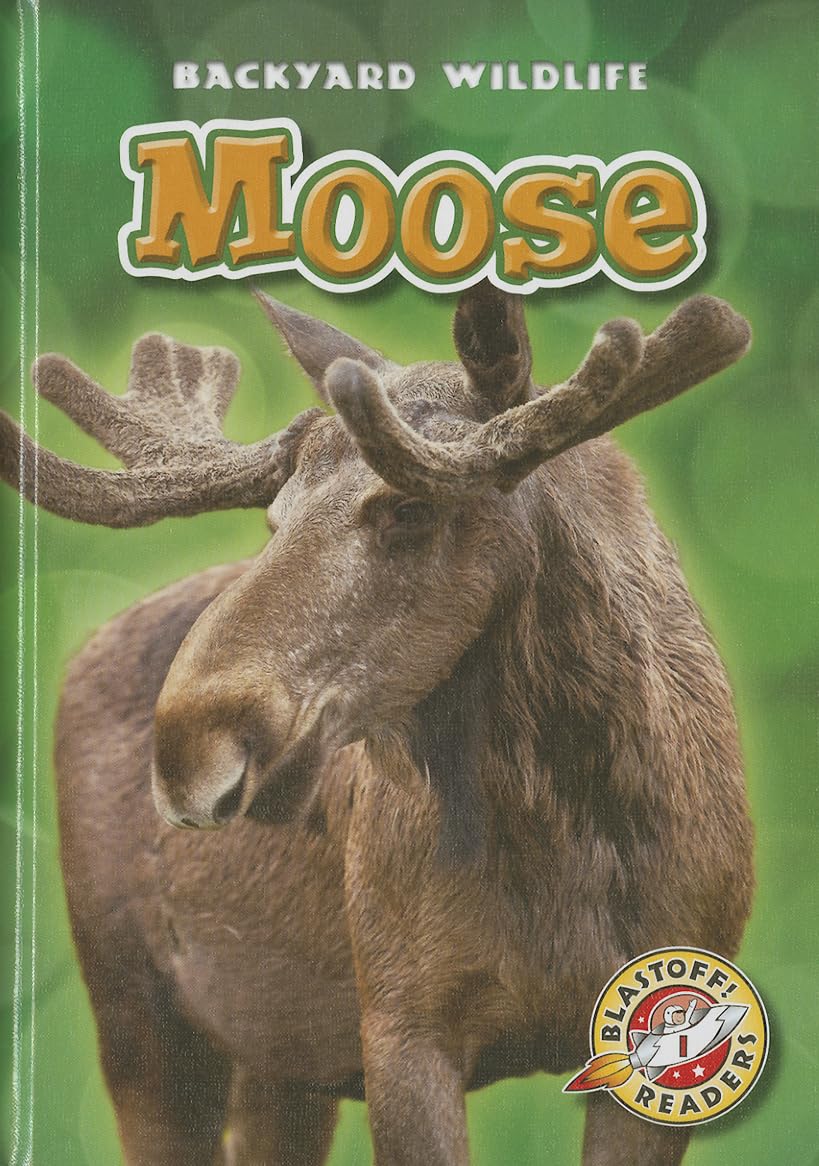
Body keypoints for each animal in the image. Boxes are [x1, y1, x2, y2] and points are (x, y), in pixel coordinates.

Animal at [0, 284, 755, 1166]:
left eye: (410, 507)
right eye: (275, 518)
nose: (186, 748)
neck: (570, 837)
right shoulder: (402, 1023)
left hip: (282, 1059)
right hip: (134, 1008)